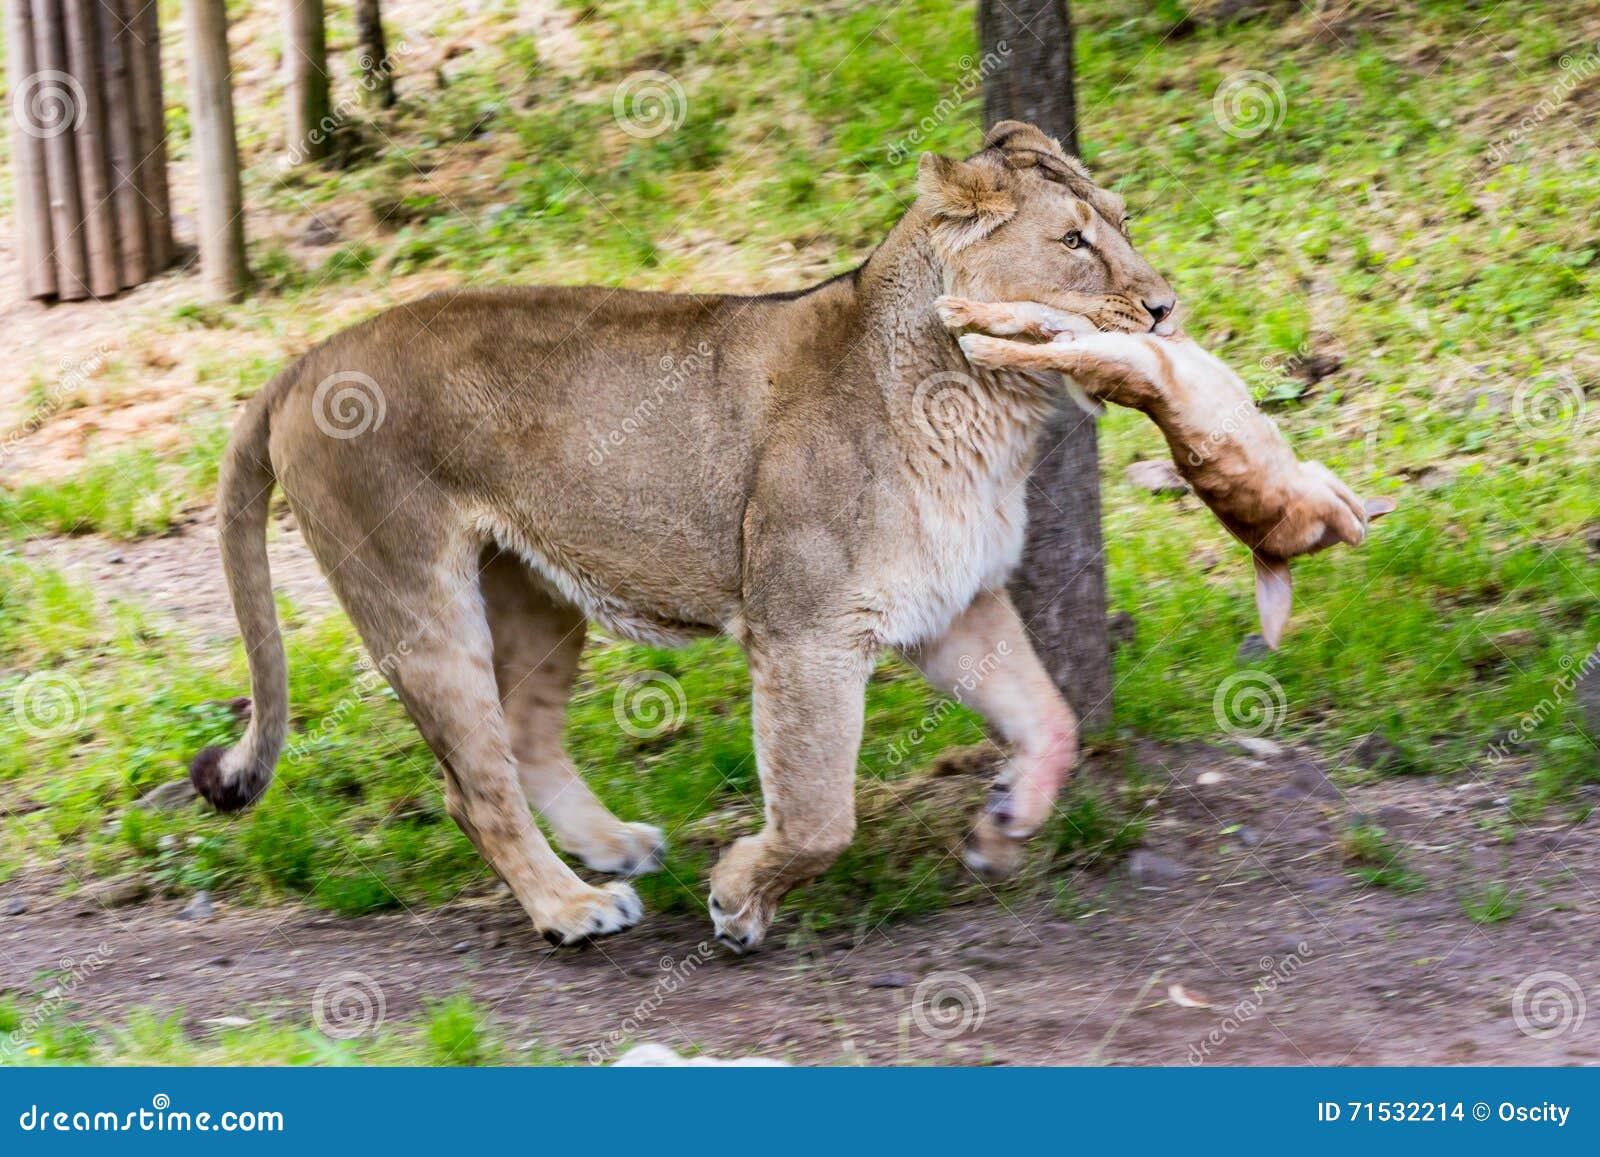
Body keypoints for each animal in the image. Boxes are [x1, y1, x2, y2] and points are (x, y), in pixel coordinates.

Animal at [191, 122, 1176, 952]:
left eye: (1125, 222)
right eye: (1074, 242)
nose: (1167, 307)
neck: (990, 409)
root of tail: (302, 362)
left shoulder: (954, 603)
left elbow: (1053, 721)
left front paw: (1003, 826)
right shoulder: (806, 628)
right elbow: (820, 813)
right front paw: (739, 899)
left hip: (538, 598)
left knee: (521, 741)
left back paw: (612, 848)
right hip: (420, 605)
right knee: (474, 786)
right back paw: (571, 908)